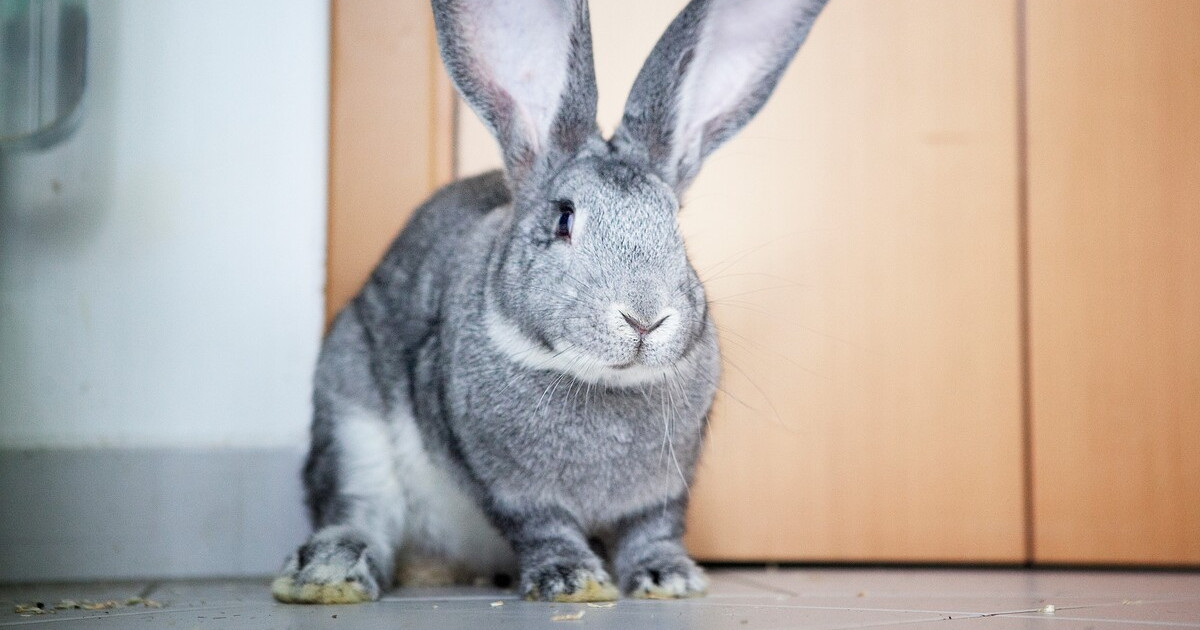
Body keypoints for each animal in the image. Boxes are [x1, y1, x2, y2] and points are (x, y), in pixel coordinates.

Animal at [272, 0, 829, 605]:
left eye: (676, 227)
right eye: (564, 219)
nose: (645, 319)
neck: (600, 380)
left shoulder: (664, 488)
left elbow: (652, 530)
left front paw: (670, 579)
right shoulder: (512, 487)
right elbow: (544, 527)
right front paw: (573, 582)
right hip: (351, 419)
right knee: (358, 510)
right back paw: (329, 574)